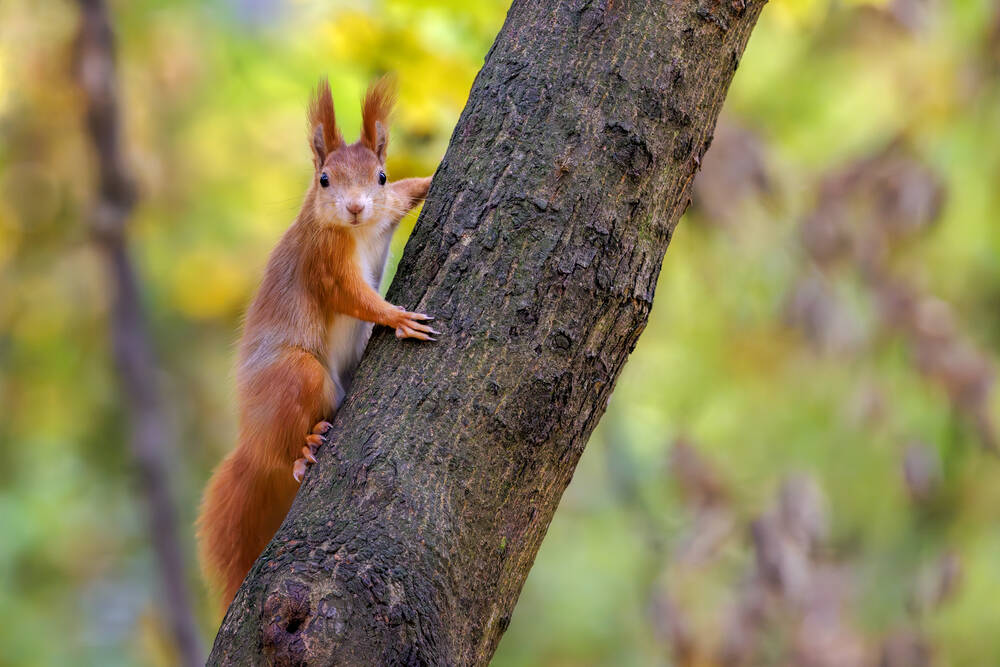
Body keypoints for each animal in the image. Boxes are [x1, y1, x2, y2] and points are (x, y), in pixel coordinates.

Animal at [196, 76, 437, 610]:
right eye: (324, 180)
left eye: (381, 176)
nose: (356, 206)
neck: (358, 231)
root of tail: (252, 439)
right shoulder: (322, 262)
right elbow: (352, 296)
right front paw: (396, 317)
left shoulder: (387, 211)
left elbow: (407, 194)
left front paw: (430, 181)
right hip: (296, 376)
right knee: (286, 449)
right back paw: (304, 449)